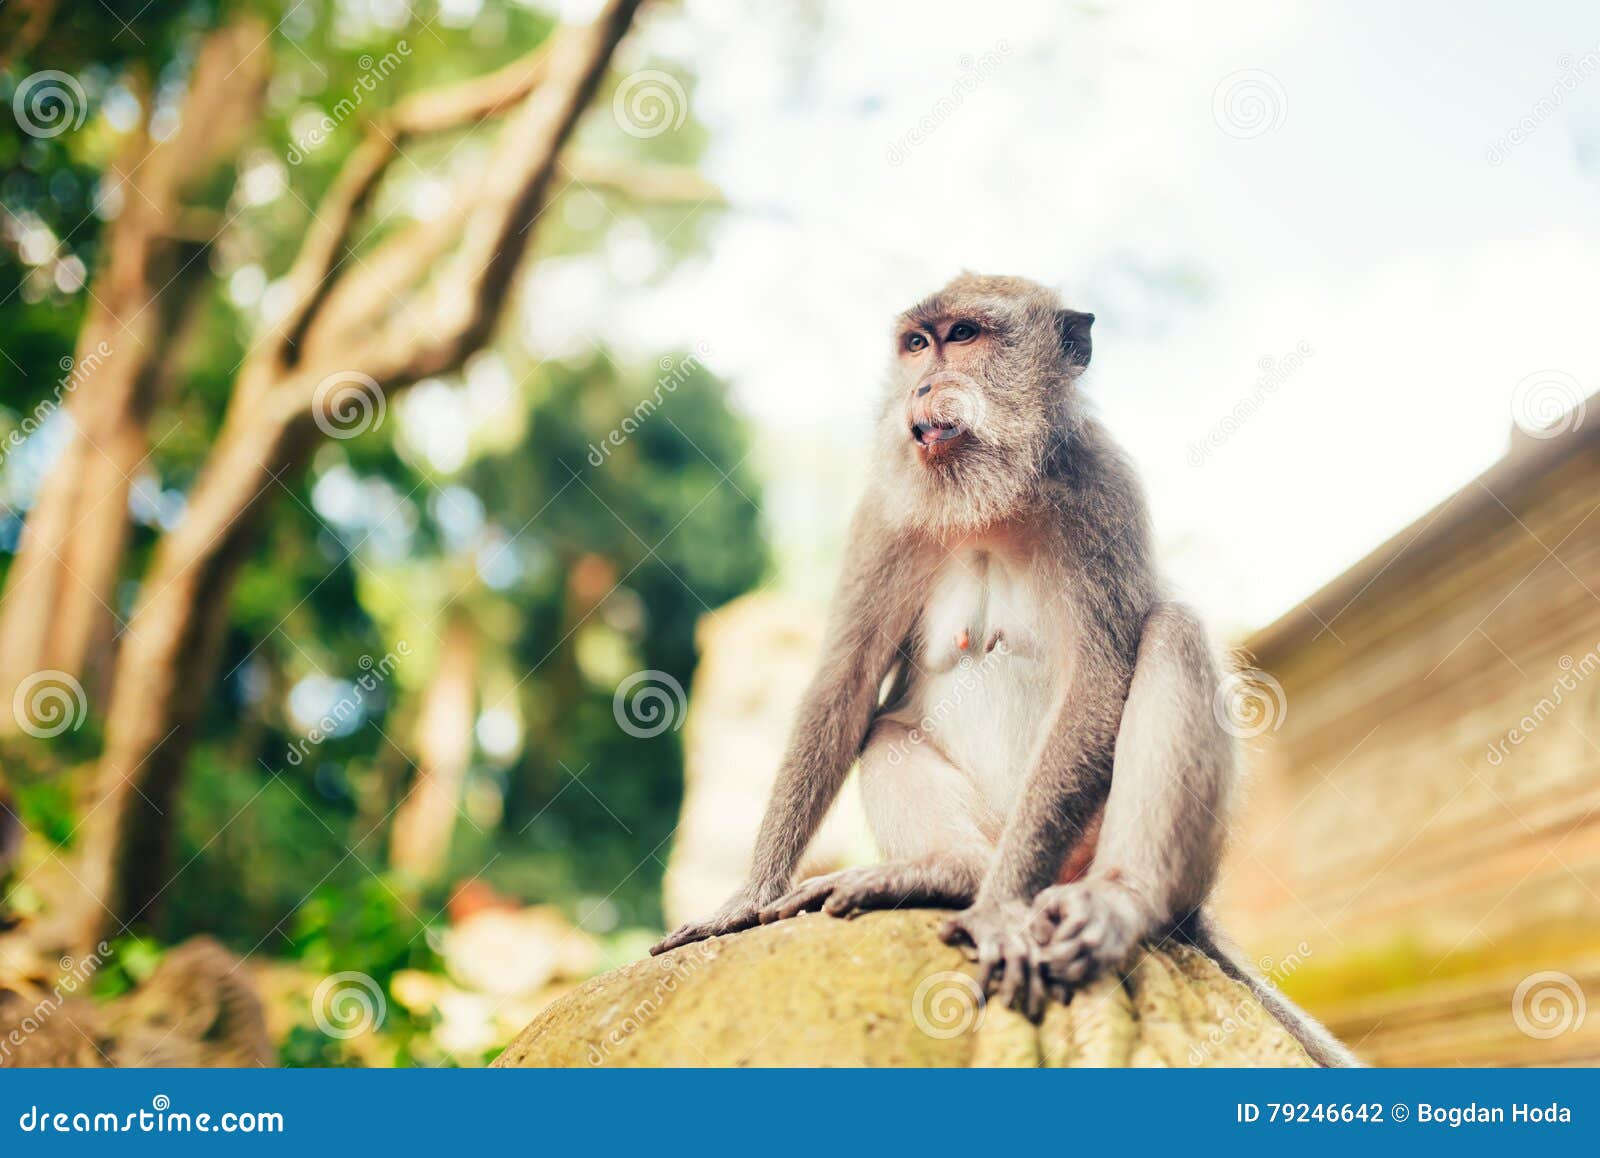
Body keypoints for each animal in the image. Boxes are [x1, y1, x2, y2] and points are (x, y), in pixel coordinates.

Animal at [652, 273, 1357, 1067]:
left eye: (963, 336)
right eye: (917, 344)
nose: (925, 385)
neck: (987, 502)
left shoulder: (1104, 487)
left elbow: (1100, 681)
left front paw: (995, 913)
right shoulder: (884, 514)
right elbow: (847, 681)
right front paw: (748, 896)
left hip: (1095, 852)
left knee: (1172, 635)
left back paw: (1114, 896)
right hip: (993, 830)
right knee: (887, 733)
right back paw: (945, 873)